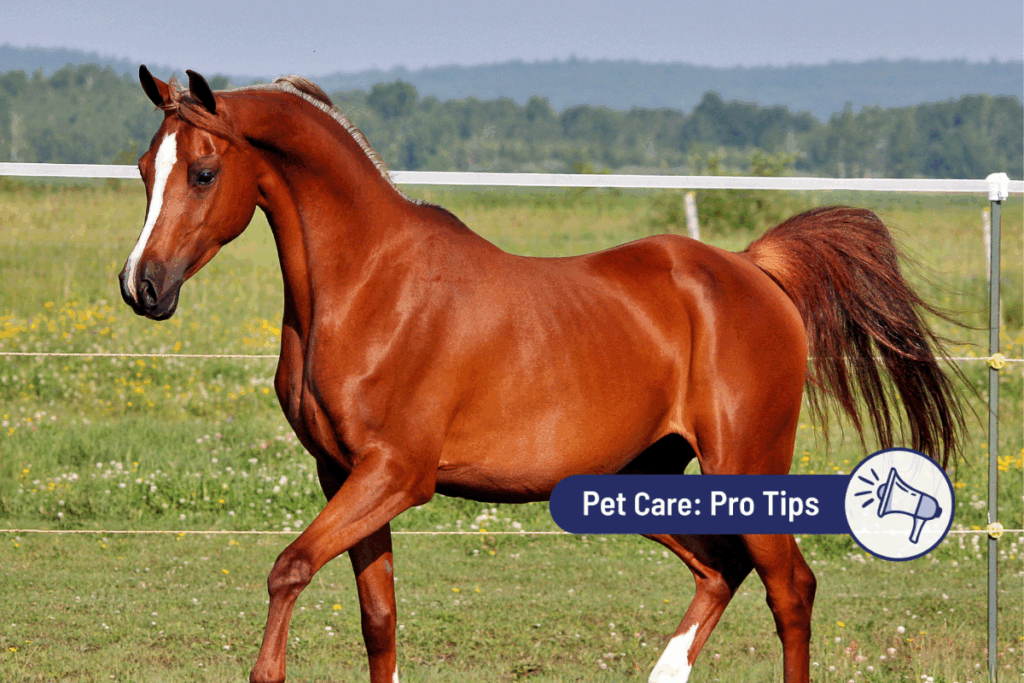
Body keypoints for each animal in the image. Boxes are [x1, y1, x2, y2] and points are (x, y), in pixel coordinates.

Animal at [119, 66, 964, 683]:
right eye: (143, 168)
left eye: (202, 172)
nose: (142, 287)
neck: (368, 285)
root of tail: (755, 271)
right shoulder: (344, 475)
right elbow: (379, 621)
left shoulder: (395, 475)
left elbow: (288, 568)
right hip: (637, 478)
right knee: (722, 568)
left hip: (745, 465)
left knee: (791, 587)